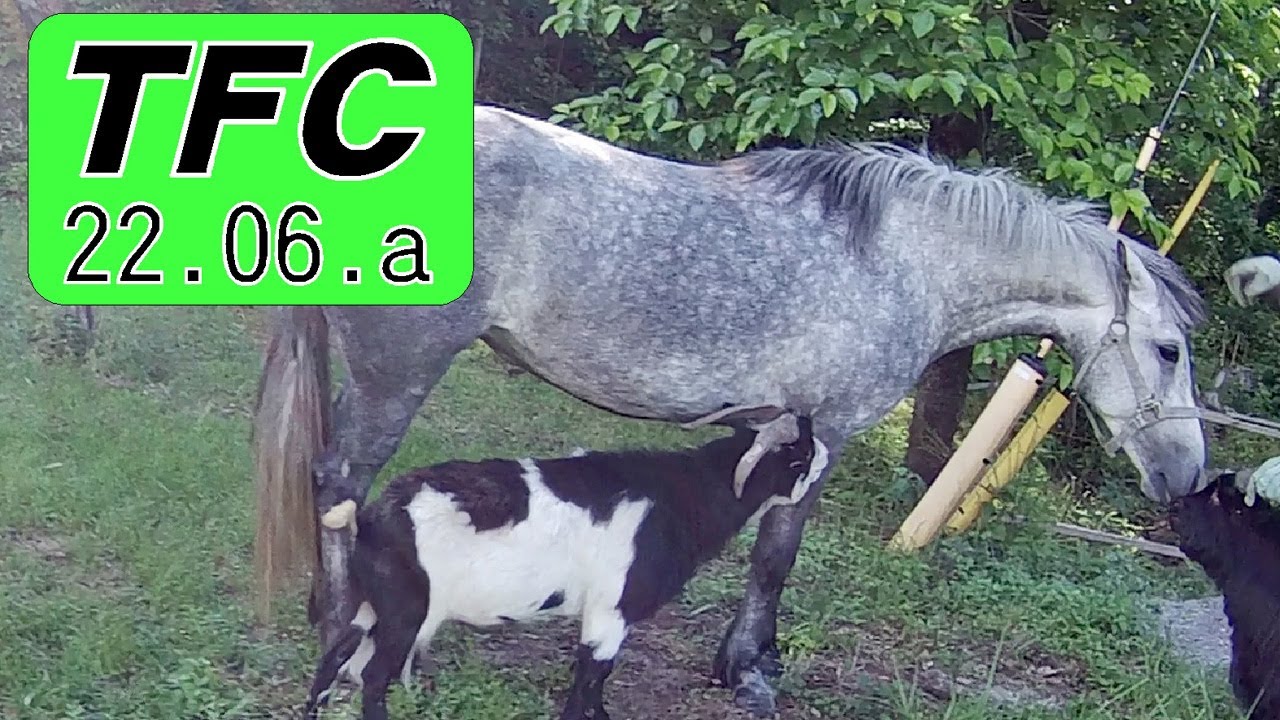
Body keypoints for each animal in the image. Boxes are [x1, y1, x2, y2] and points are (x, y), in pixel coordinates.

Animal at [251, 104, 1209, 716]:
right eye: (1168, 349)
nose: (1186, 475)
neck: (906, 262)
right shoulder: (830, 431)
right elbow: (775, 556)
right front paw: (753, 673)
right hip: (398, 372)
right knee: (341, 483)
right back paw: (346, 635)